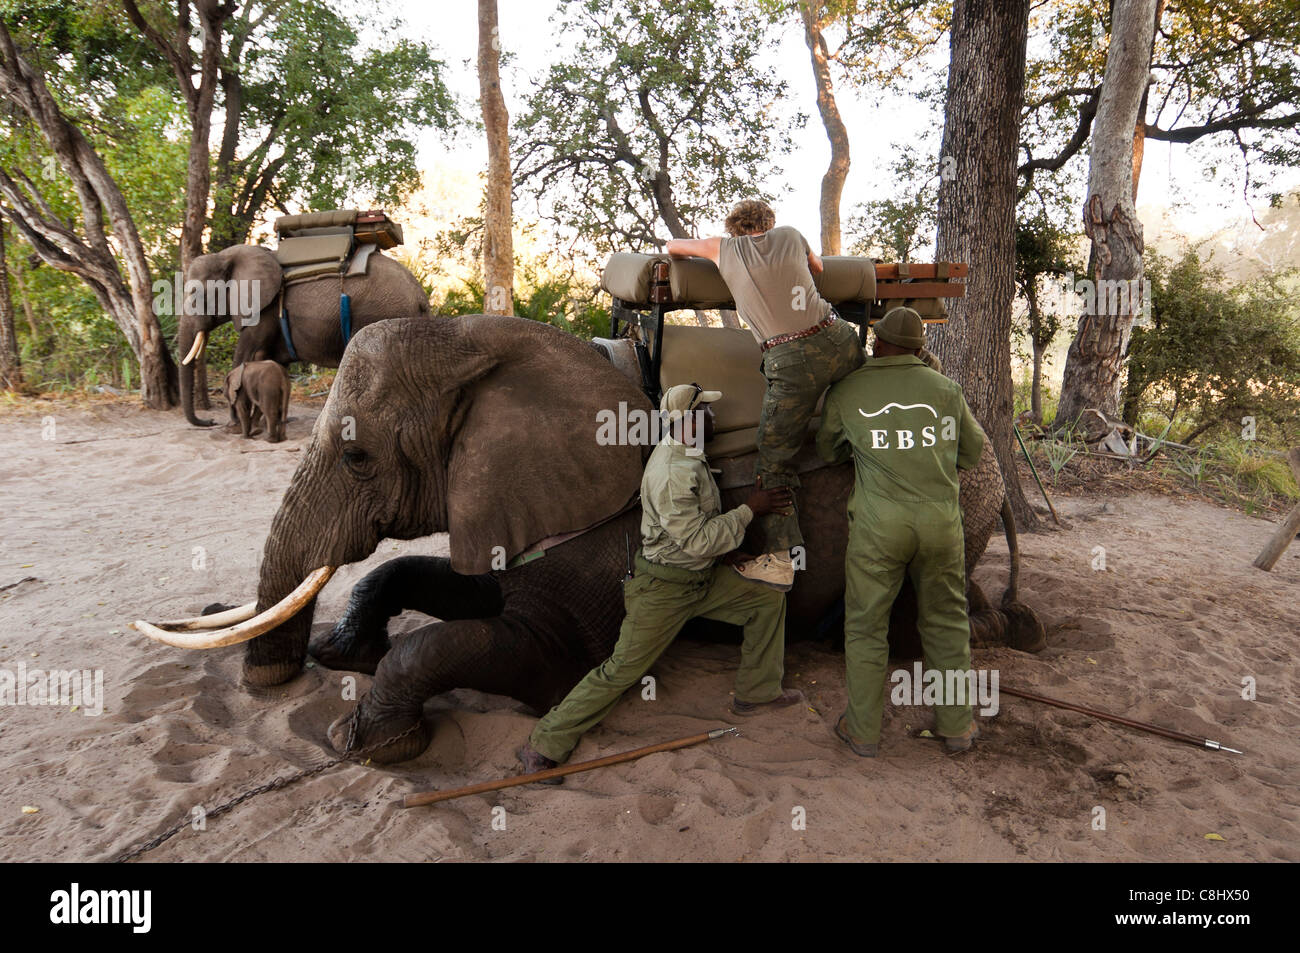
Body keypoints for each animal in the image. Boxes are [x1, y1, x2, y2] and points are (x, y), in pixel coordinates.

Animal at [136, 315, 1045, 765]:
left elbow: (533, 659)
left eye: (358, 457)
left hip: (951, 508)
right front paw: (343, 653)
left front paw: (374, 744)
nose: (269, 679)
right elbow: (435, 579)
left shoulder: (606, 529)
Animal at [177, 244, 432, 428]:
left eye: (195, 293)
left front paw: (235, 425)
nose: (209, 421)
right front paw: (268, 422)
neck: (227, 255)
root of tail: (421, 296)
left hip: (381, 317)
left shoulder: (263, 312)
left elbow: (244, 357)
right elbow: (272, 364)